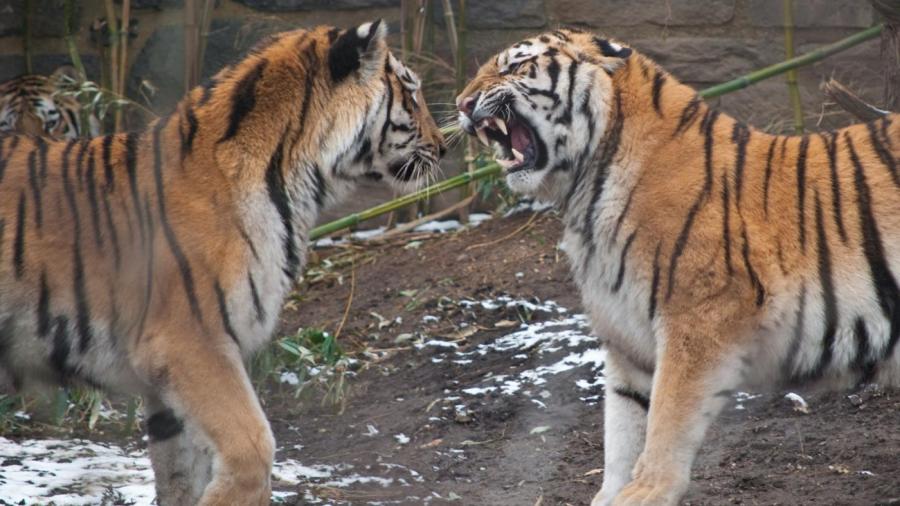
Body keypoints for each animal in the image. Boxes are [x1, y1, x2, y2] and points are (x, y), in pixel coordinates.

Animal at [0, 20, 443, 505]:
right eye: (412, 92)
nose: (443, 147)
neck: (294, 179)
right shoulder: (191, 342)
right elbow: (253, 447)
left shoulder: (167, 381)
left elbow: (179, 475)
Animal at [456, 28, 899, 506]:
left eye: (516, 66)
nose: (461, 104)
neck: (585, 195)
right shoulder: (628, 342)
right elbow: (623, 430)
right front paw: (614, 494)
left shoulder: (699, 319)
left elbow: (667, 419)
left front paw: (645, 492)